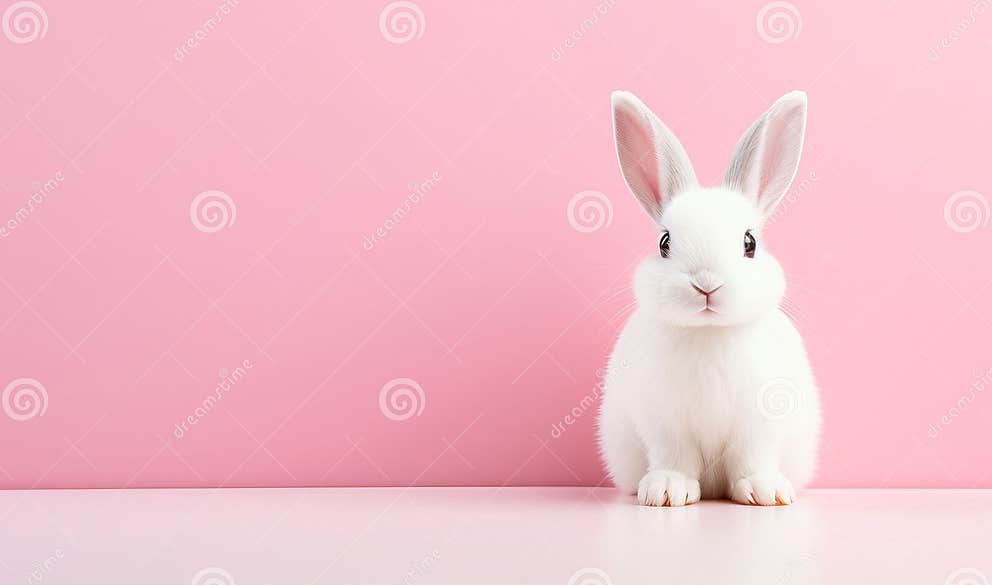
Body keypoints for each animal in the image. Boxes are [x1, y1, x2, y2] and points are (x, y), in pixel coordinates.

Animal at [598, 90, 821, 506]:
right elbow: (675, 458)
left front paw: (765, 492)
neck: (709, 332)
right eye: (664, 243)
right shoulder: (665, 424)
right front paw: (667, 491)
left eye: (749, 243)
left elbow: (753, 459)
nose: (706, 284)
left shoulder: (760, 423)